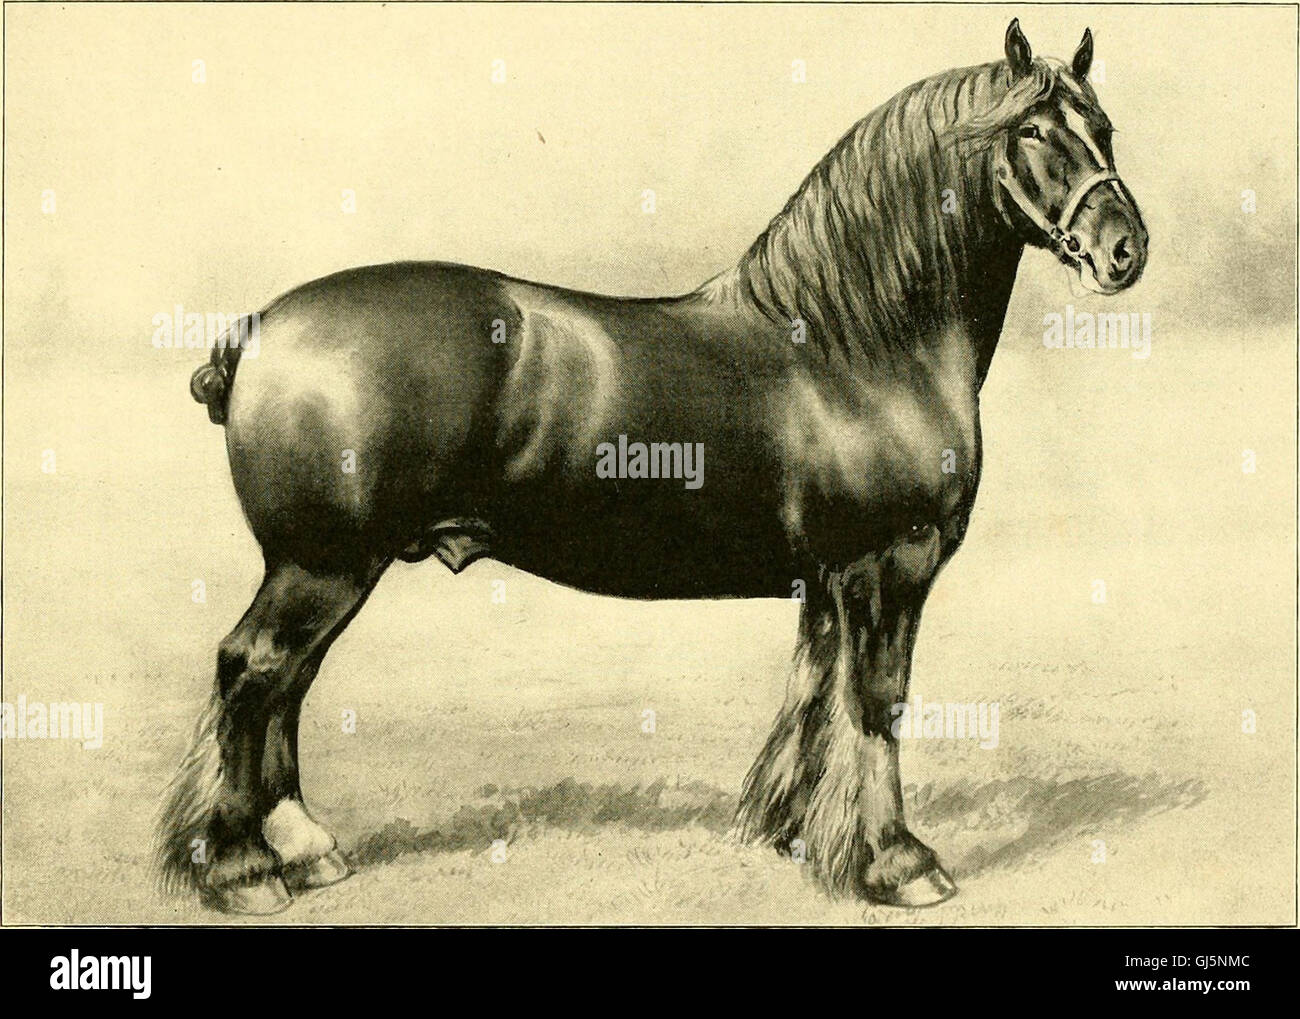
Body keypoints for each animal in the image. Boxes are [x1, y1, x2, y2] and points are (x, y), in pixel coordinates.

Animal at [160, 19, 1147, 914]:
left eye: (1103, 127)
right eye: (1033, 130)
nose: (1124, 249)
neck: (856, 345)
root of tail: (254, 333)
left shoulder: (828, 579)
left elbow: (812, 693)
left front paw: (793, 831)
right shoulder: (887, 567)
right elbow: (877, 702)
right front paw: (898, 863)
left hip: (327, 570)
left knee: (285, 685)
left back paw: (305, 847)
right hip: (322, 566)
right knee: (253, 671)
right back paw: (244, 868)